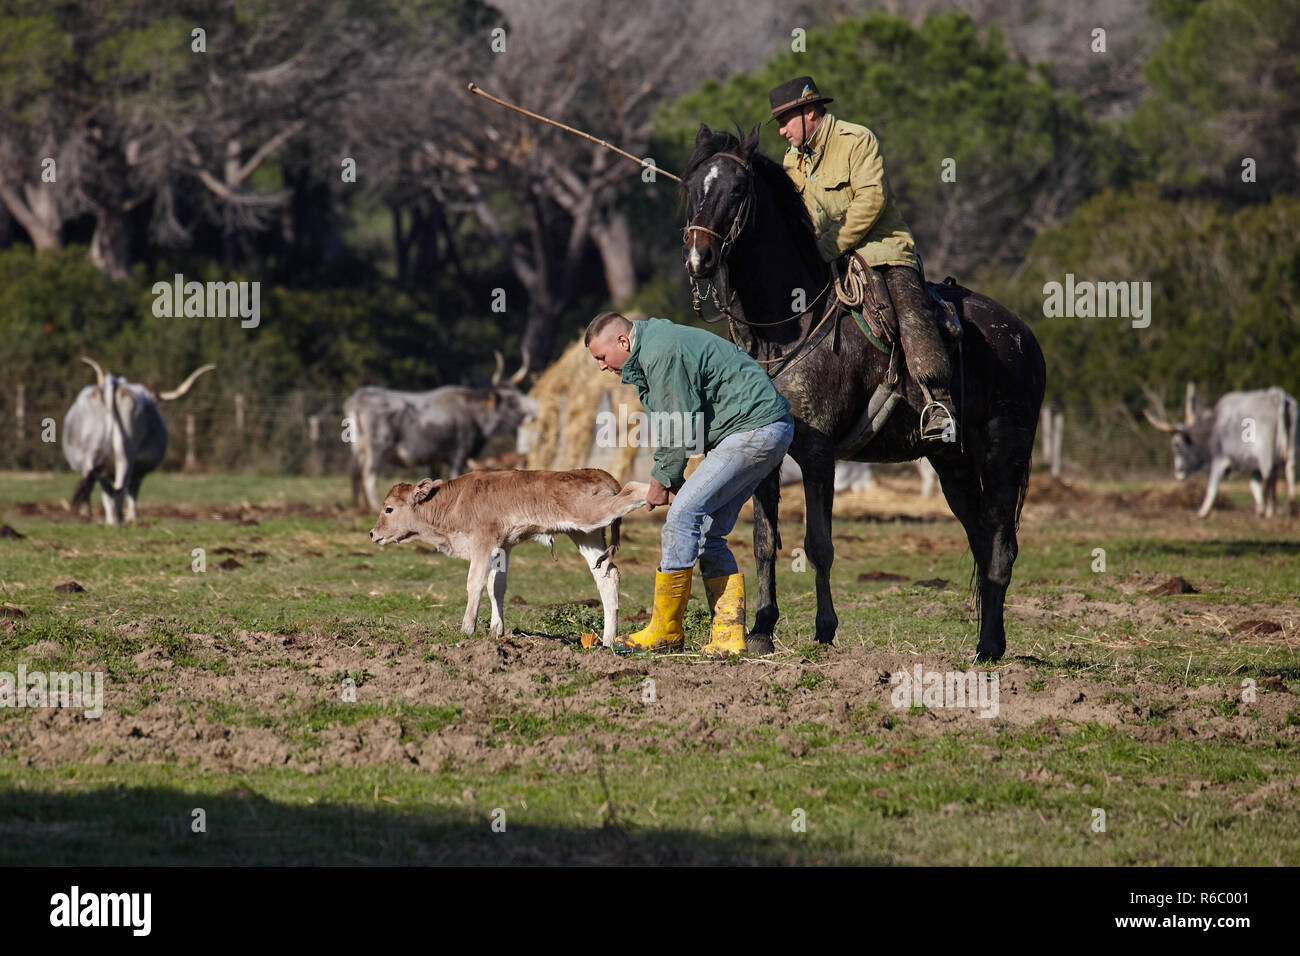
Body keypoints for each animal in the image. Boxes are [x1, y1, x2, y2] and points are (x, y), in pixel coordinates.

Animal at [63, 357, 216, 524]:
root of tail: (115, 383)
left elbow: (110, 493)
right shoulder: (138, 472)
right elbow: (131, 493)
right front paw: (130, 517)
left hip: (94, 451)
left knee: (100, 484)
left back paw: (103, 516)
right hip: (126, 453)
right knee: (120, 486)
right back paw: (118, 518)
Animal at [345, 356, 538, 511]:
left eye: (520, 393)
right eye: (512, 401)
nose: (534, 412)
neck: (470, 412)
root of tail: (359, 397)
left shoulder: (434, 459)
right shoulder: (458, 455)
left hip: (359, 450)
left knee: (356, 474)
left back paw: (359, 505)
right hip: (377, 448)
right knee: (368, 475)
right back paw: (373, 505)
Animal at [369, 469, 649, 646]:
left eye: (389, 509)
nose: (373, 533)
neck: (454, 502)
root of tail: (597, 472)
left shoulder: (483, 544)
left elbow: (475, 584)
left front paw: (467, 629)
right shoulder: (502, 547)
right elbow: (496, 588)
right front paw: (496, 631)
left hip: (591, 515)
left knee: (634, 488)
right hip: (585, 535)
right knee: (607, 576)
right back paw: (608, 640)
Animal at [1145, 383, 1297, 518]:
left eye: (1176, 445)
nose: (1178, 473)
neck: (1213, 427)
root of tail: (1277, 396)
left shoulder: (1220, 458)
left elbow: (1212, 486)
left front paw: (1203, 512)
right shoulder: (1253, 464)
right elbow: (1254, 485)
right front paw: (1260, 509)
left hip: (1265, 451)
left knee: (1270, 473)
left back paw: (1271, 510)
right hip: (1289, 447)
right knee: (1289, 470)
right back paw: (1291, 507)